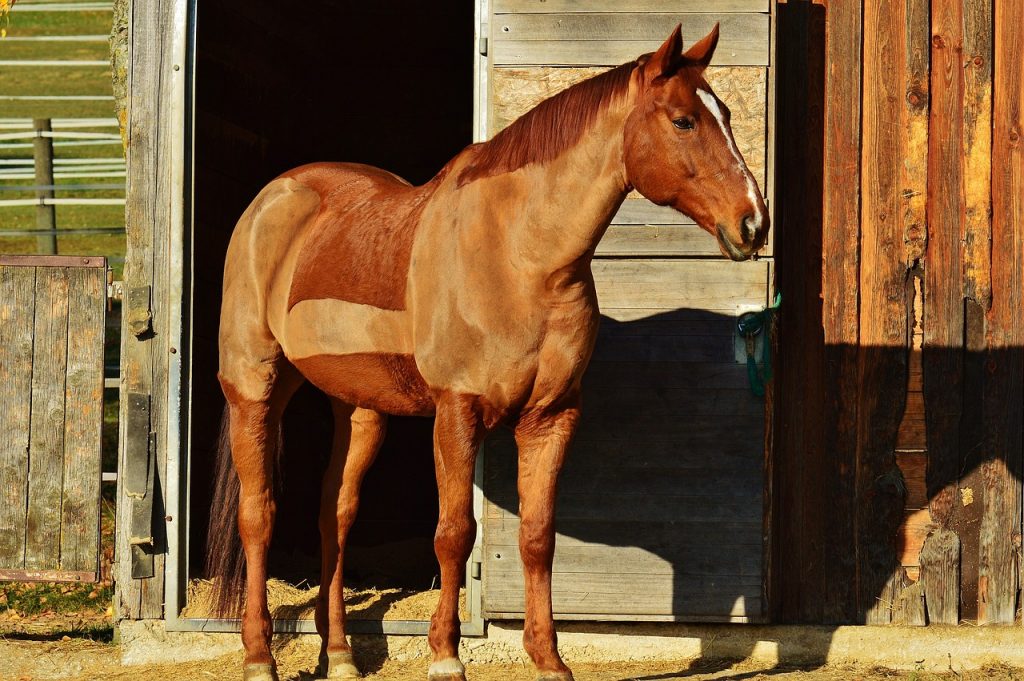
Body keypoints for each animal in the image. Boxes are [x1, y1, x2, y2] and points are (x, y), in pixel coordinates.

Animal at [206, 22, 768, 681]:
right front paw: (446, 656)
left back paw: (341, 653)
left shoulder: (551, 417)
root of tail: (273, 198)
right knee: (259, 515)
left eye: (725, 113)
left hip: (359, 407)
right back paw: (259, 656)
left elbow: (538, 536)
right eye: (683, 121)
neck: (520, 256)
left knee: (335, 515)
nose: (753, 223)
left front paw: (548, 658)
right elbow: (454, 532)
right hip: (256, 389)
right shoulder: (457, 411)